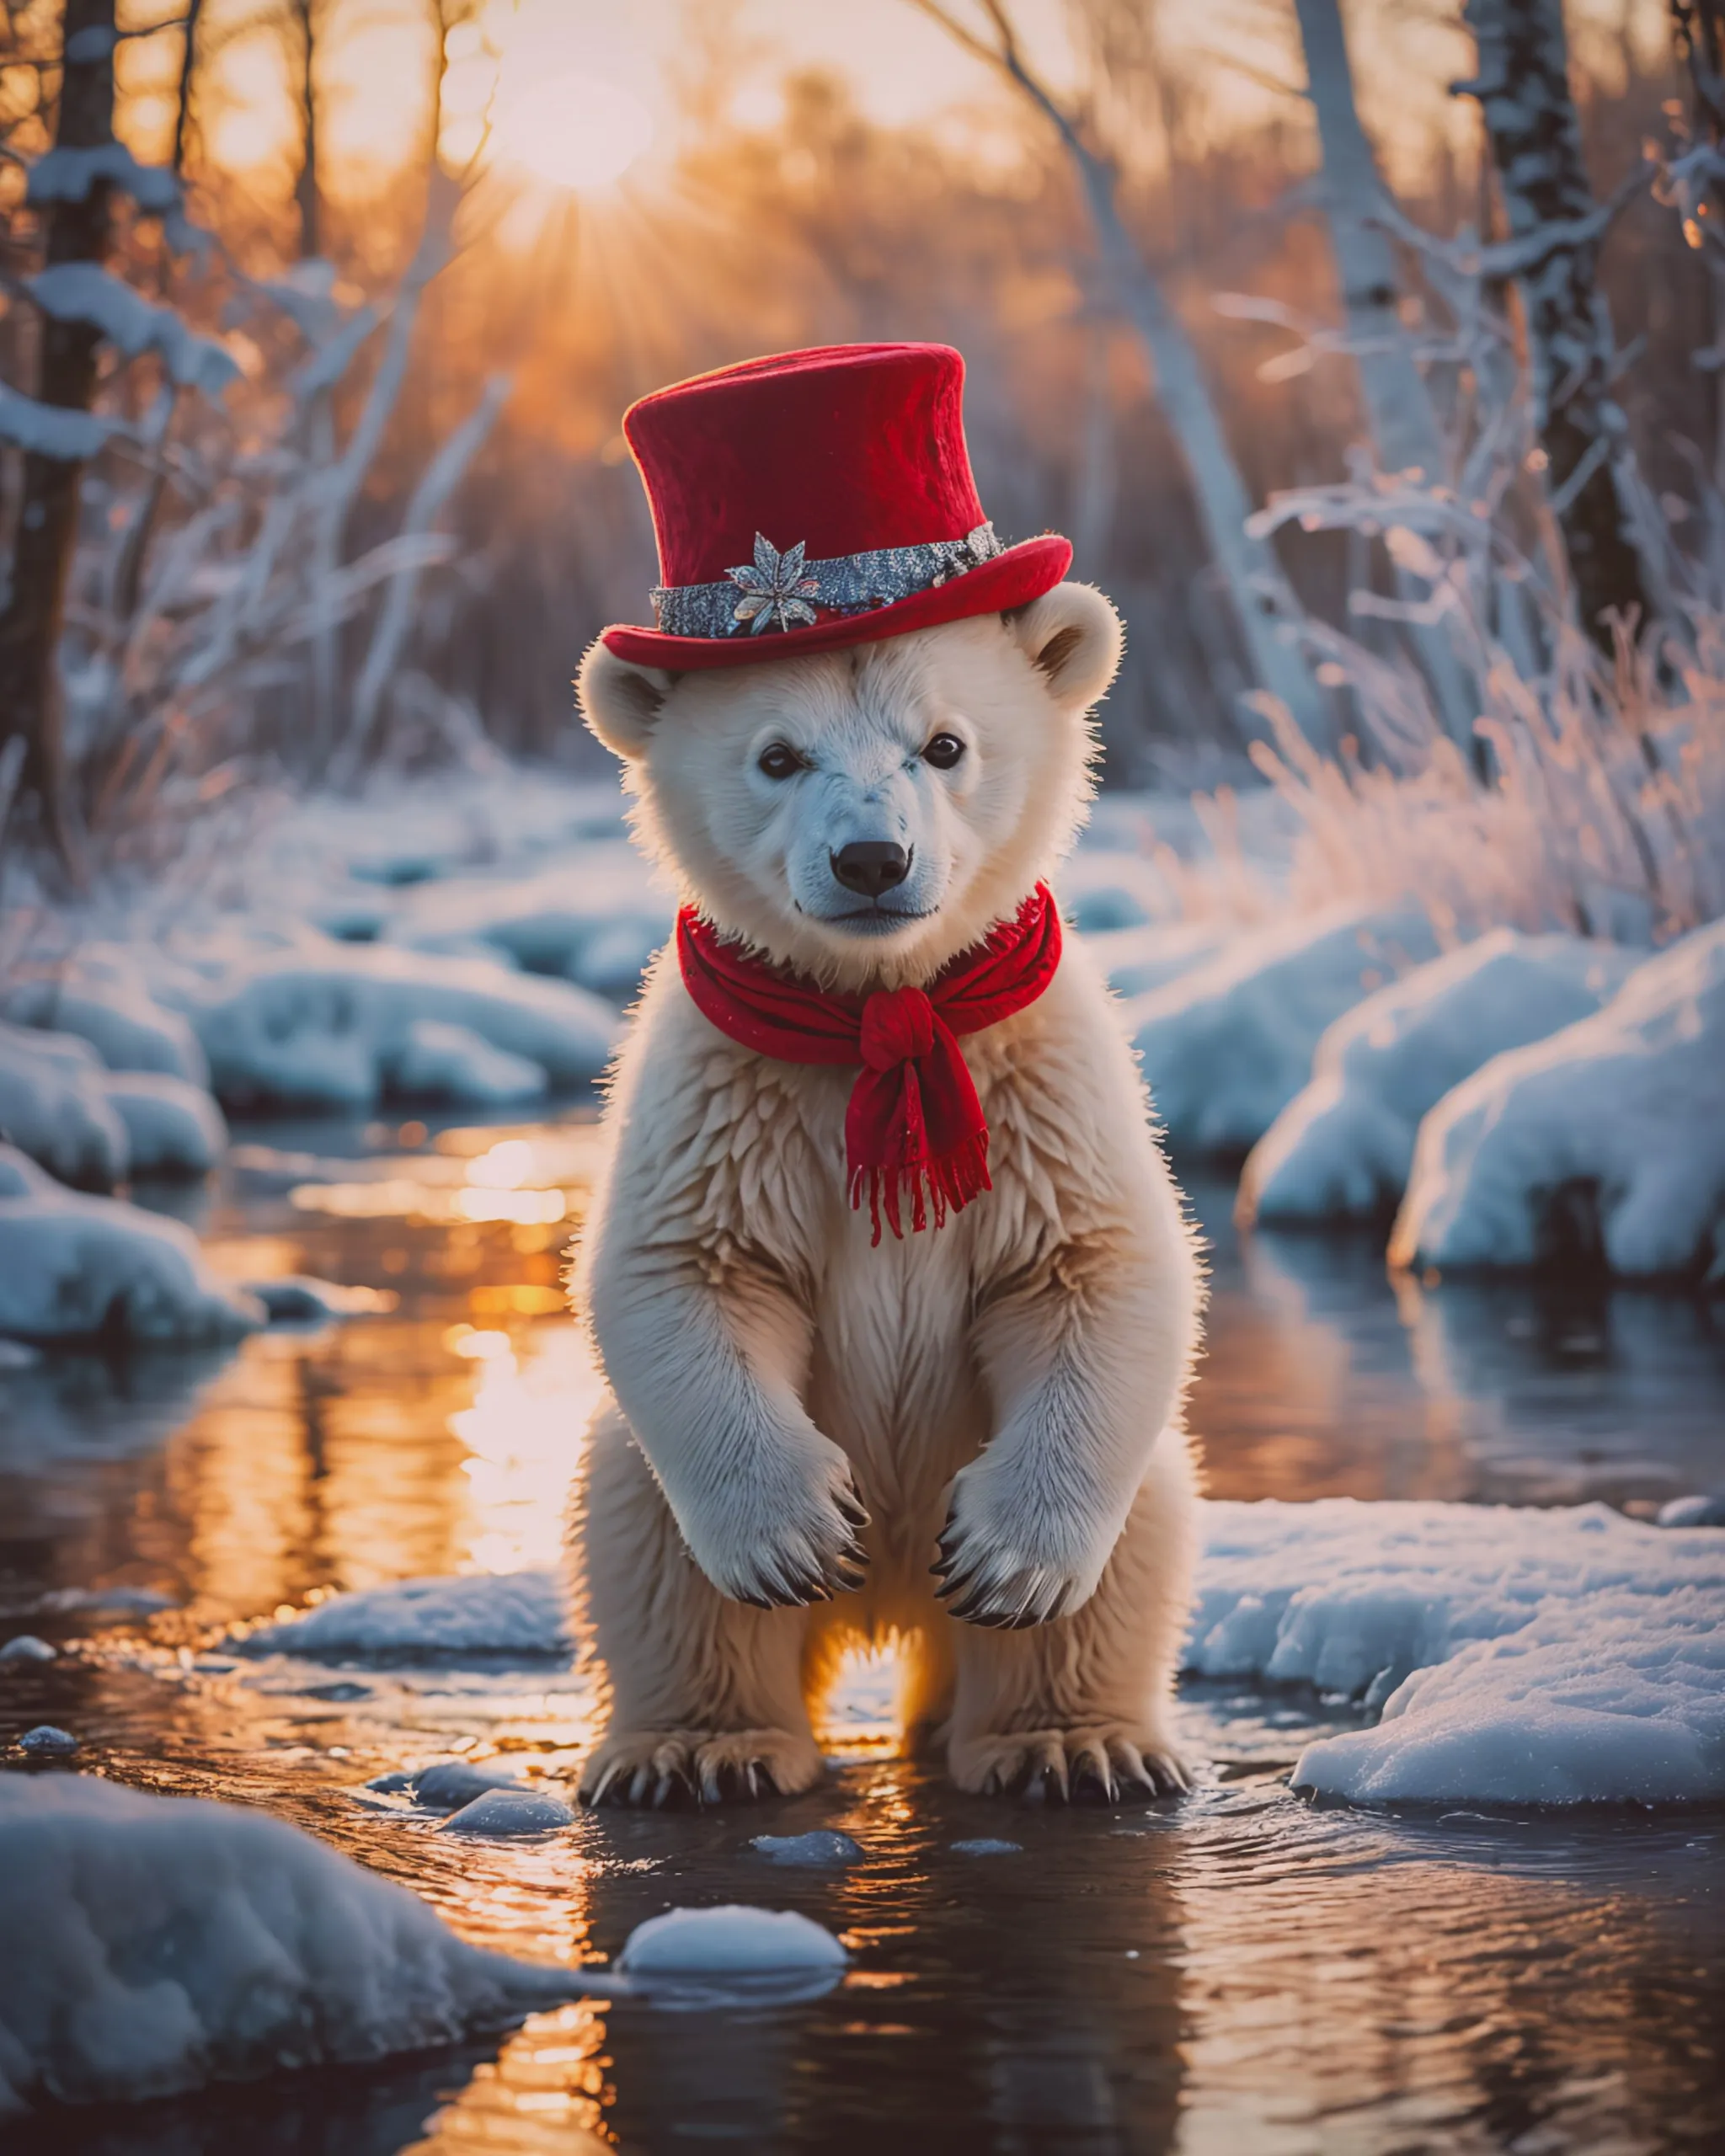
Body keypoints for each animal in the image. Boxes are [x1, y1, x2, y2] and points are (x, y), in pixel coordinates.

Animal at [564, 580, 1205, 1809]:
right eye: (778, 755)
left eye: (943, 744)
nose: (872, 859)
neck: (875, 1017)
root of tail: (890, 1613)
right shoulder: (728, 1088)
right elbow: (686, 1271)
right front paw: (796, 1537)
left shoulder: (1029, 1079)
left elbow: (1094, 1266)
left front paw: (1008, 1561)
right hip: (651, 1489)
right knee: (647, 1543)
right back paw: (700, 1749)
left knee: (1131, 1543)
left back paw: (1071, 1742)